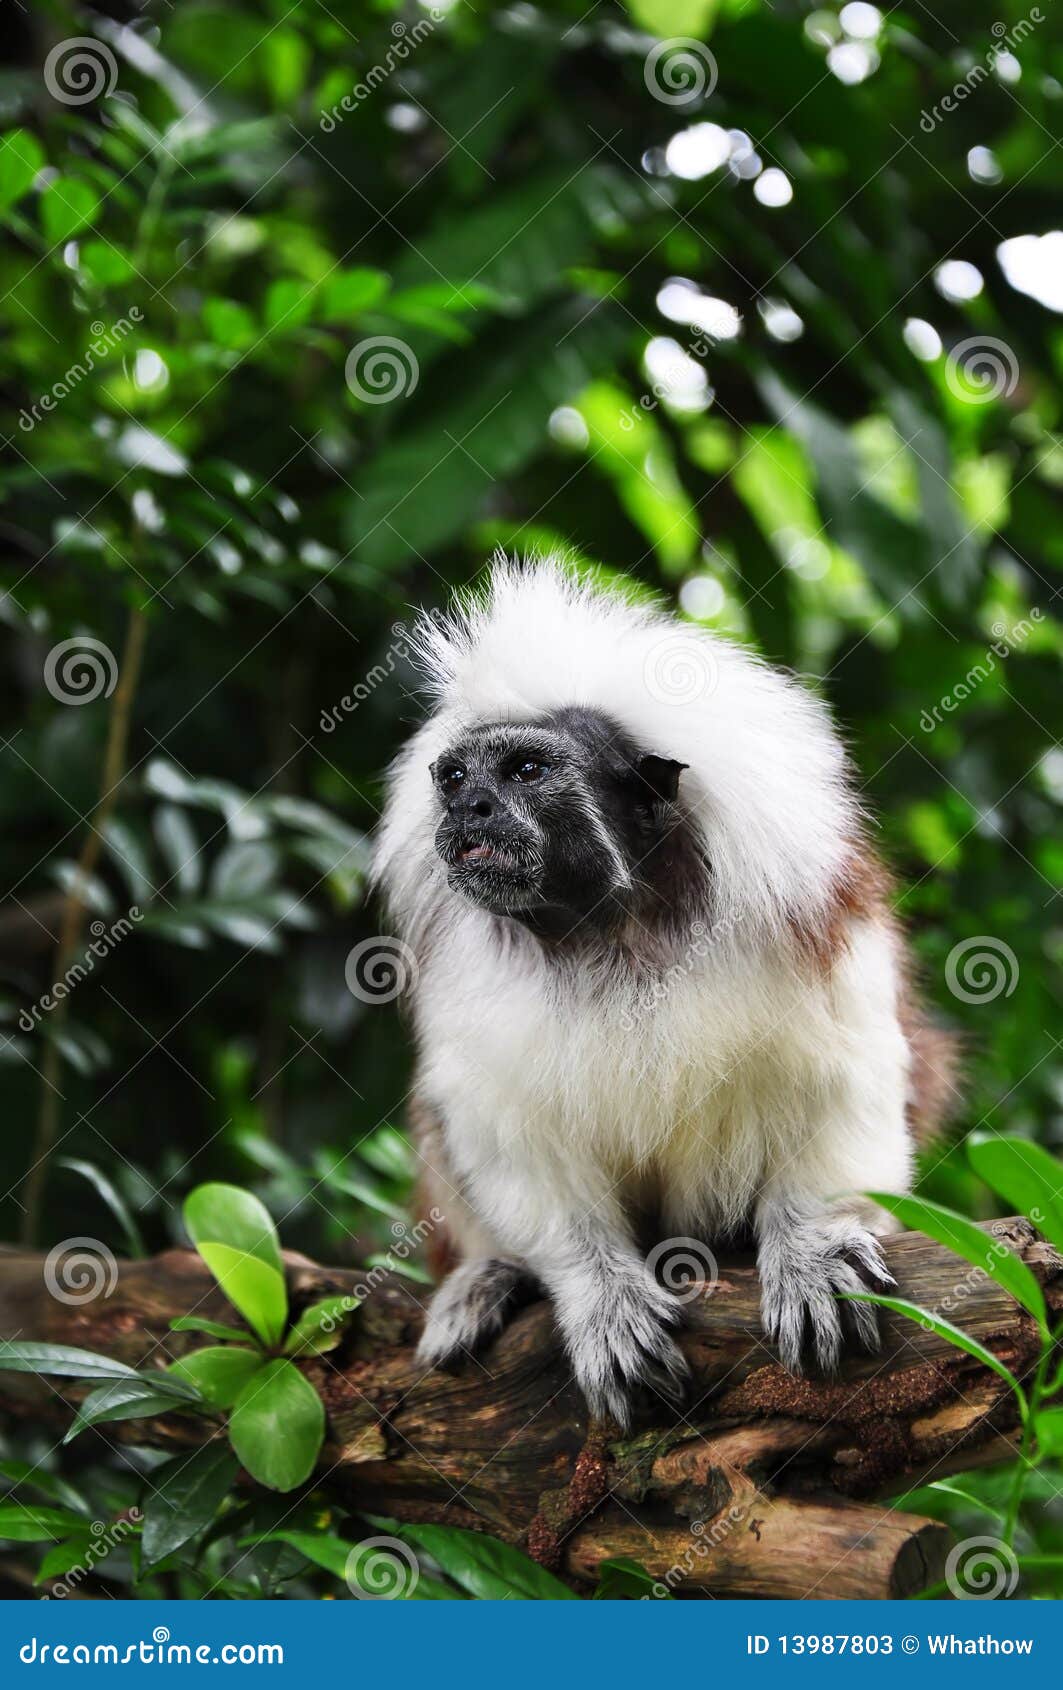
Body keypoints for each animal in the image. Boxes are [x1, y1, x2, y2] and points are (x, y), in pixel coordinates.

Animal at [373, 558, 957, 1425]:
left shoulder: (814, 926)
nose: (466, 807)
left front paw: (811, 1249)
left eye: (525, 771)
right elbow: (512, 1140)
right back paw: (487, 1275)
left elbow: (844, 1089)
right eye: (453, 777)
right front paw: (599, 1298)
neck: (614, 931)